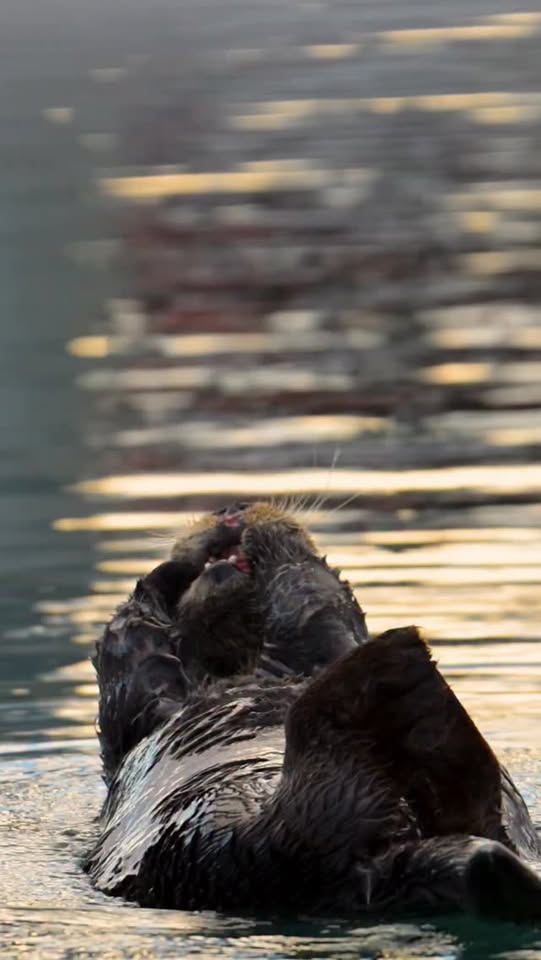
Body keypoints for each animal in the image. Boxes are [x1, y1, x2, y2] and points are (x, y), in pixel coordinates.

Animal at [87, 501, 541, 922]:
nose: (230, 509)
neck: (248, 665)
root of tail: (368, 877)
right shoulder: (136, 703)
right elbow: (129, 643)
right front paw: (169, 573)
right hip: (254, 841)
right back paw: (399, 673)